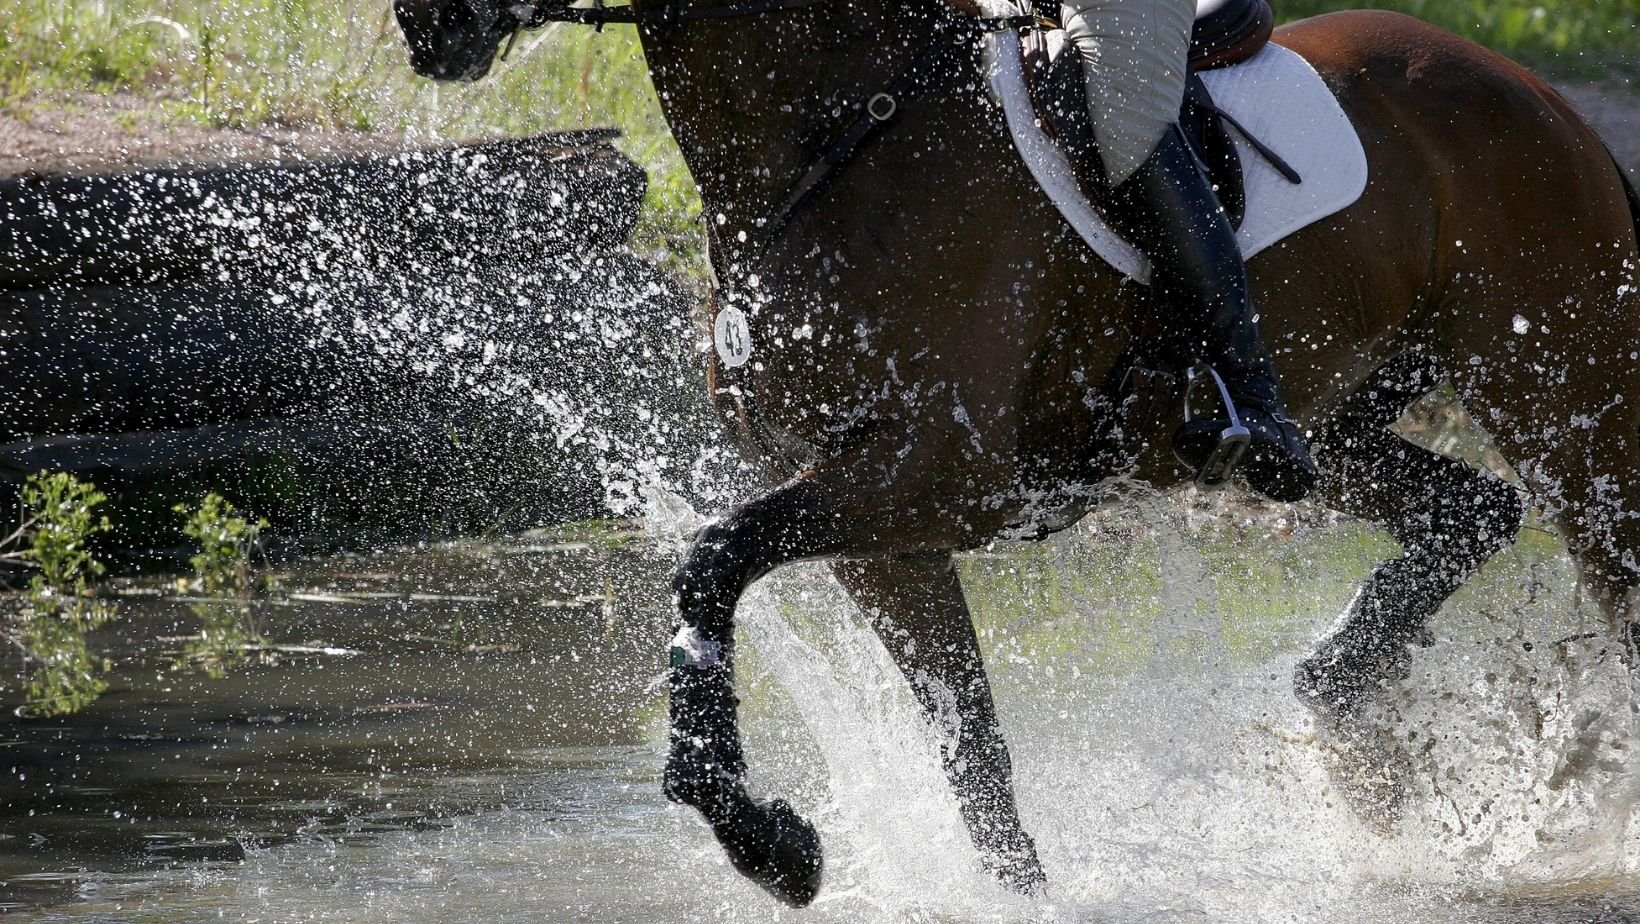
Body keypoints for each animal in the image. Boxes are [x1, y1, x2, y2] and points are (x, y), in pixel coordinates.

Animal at [393, 0, 1640, 906]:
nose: (424, 23)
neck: (836, 142)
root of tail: (1540, 96)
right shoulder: (881, 537)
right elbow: (970, 748)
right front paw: (1006, 892)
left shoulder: (930, 478)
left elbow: (707, 560)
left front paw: (764, 842)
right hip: (1329, 428)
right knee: (1464, 512)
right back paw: (1339, 697)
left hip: (1563, 400)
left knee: (1605, 579)